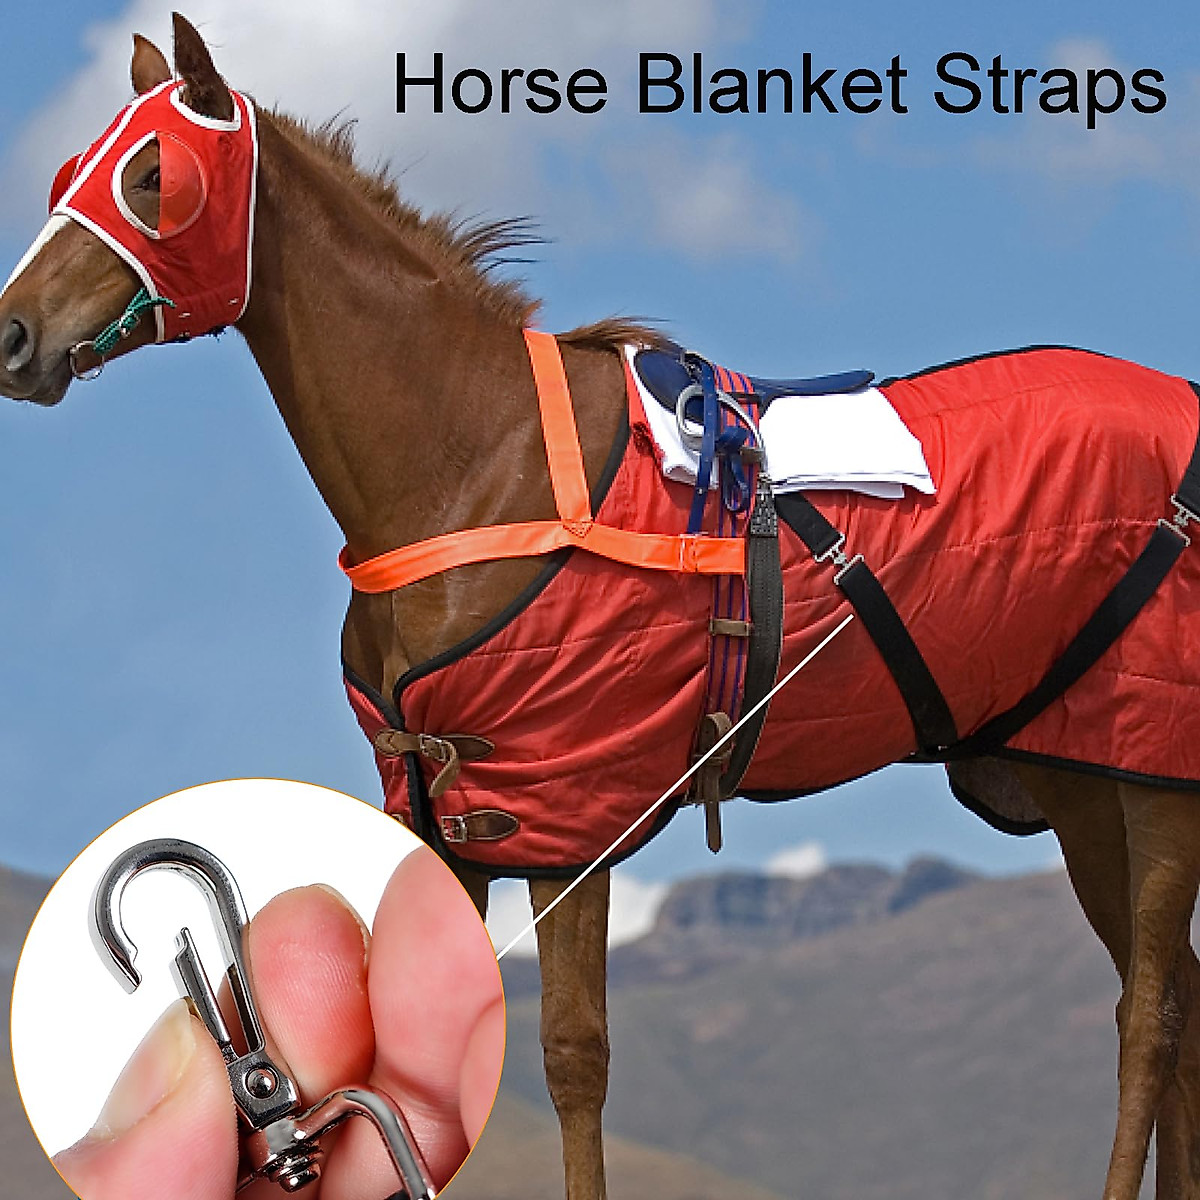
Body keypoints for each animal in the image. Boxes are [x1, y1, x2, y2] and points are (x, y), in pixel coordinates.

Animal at [2, 16, 1200, 1200]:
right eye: (68, 172)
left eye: (157, 177)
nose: (12, 335)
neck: (481, 466)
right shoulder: (444, 814)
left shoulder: (565, 814)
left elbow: (571, 1057)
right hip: (1076, 769)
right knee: (1174, 997)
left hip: (1154, 769)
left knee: (1151, 1012)